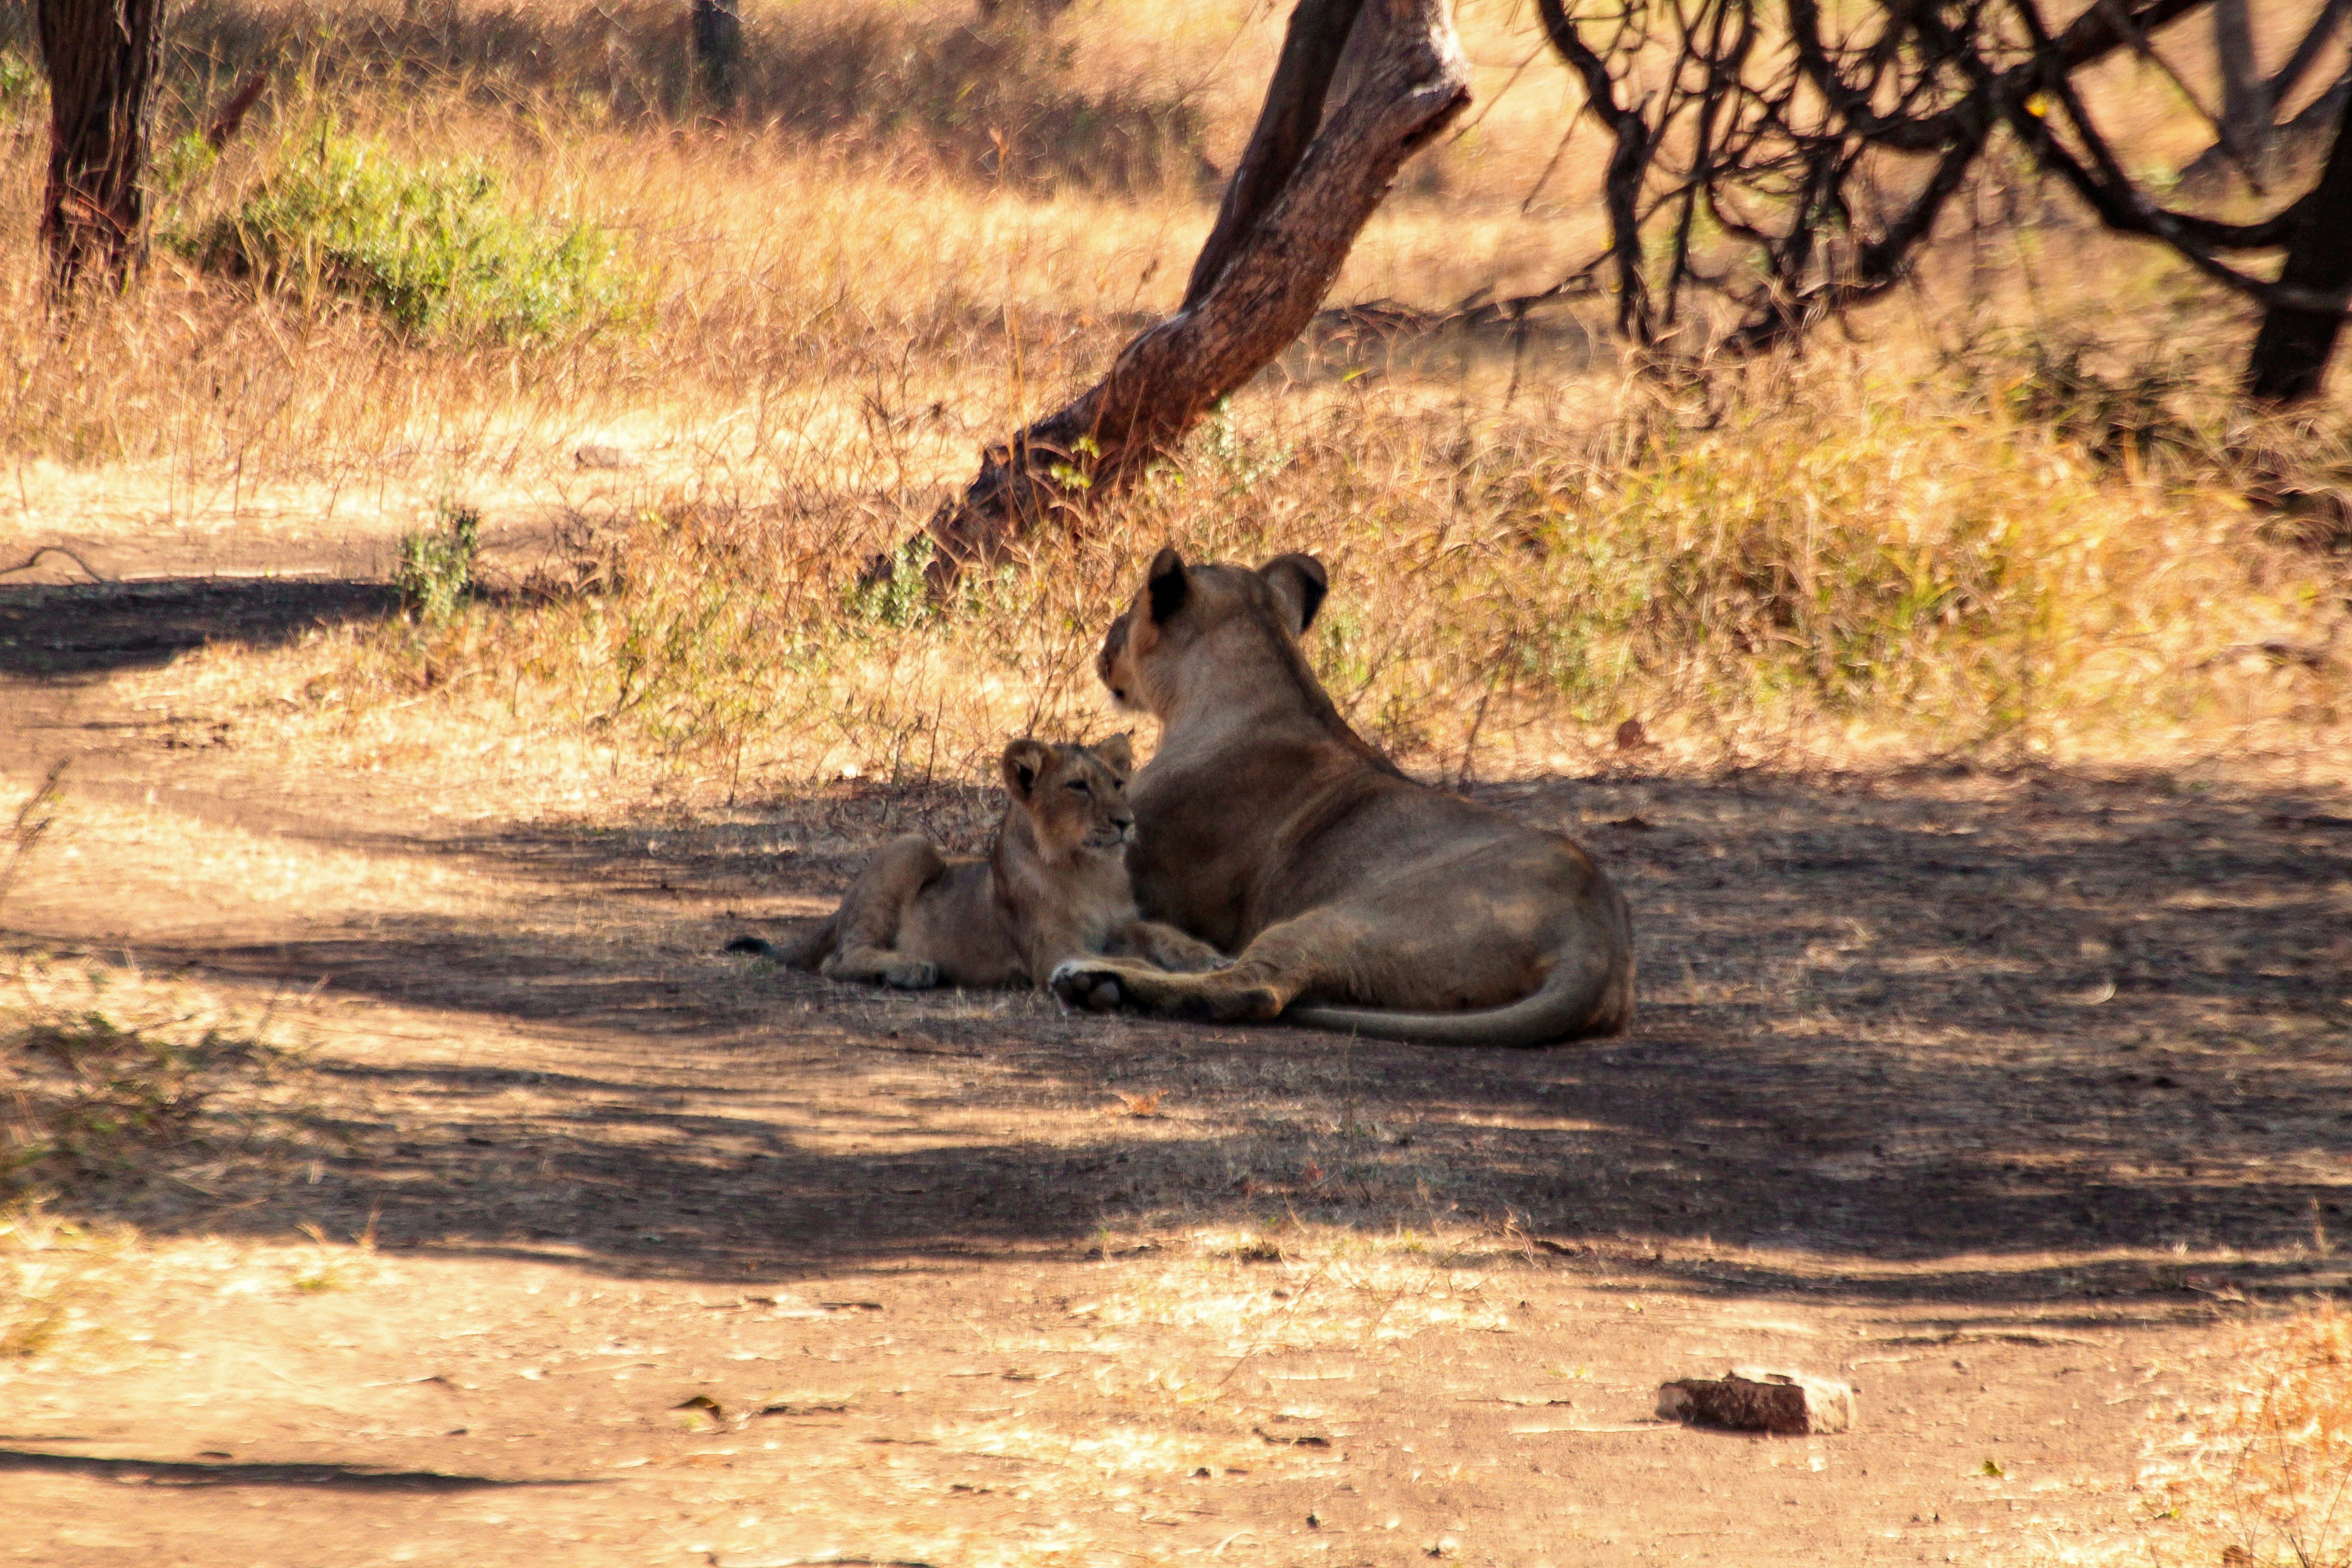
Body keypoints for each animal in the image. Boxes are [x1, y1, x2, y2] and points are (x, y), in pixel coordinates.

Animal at [726, 734, 1227, 991]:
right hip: (913, 845)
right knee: (839, 959)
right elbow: (1129, 962)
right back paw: (910, 969)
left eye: (1119, 783)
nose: (1126, 822)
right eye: (1078, 787)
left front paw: (1208, 958)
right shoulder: (1054, 951)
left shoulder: (1122, 923)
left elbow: (1162, 932)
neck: (1087, 871)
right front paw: (1168, 975)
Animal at [1046, 549, 1635, 1045]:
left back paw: (1094, 981)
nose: (1103, 647)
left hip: (1344, 920)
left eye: (1127, 615)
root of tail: (1597, 944)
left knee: (1254, 987)